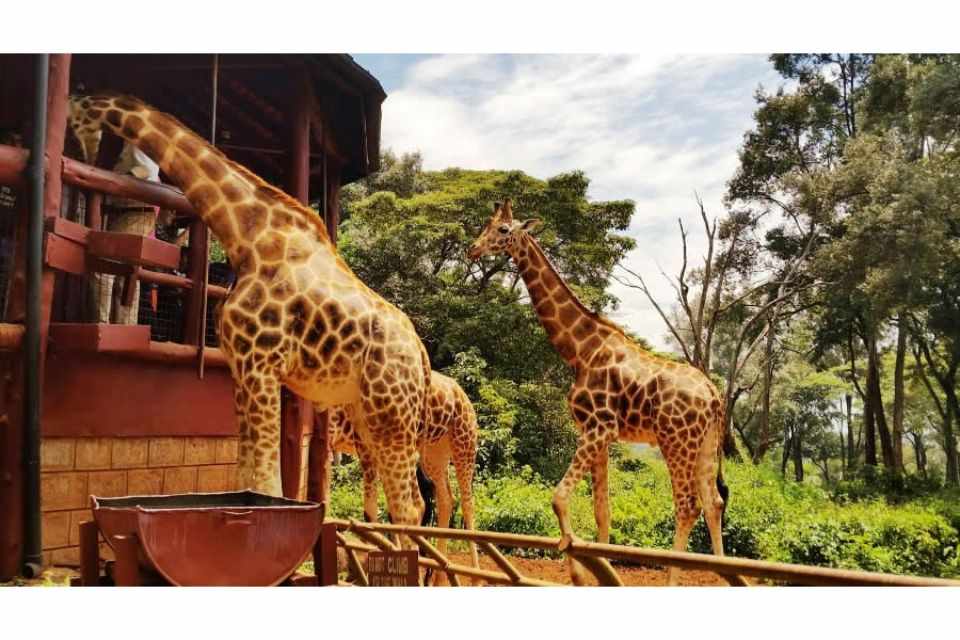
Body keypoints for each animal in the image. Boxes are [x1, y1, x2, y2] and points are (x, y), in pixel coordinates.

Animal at [67, 94, 432, 532]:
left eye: (76, 119)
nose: (84, 158)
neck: (246, 235)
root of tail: (422, 358)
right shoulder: (241, 367)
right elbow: (246, 477)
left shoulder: (262, 365)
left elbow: (266, 481)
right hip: (367, 411)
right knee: (409, 499)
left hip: (390, 411)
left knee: (410, 502)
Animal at [325, 370, 480, 575]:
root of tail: (462, 394)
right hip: (435, 453)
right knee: (446, 499)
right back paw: (440, 575)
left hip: (464, 442)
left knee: (466, 503)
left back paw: (475, 574)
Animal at [468, 199, 728, 585]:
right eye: (487, 224)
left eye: (502, 230)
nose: (472, 249)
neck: (580, 351)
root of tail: (713, 396)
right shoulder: (602, 435)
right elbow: (602, 510)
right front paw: (603, 567)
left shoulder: (596, 427)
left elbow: (559, 498)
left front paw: (577, 571)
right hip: (706, 442)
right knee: (714, 503)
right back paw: (729, 573)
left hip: (676, 440)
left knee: (688, 506)